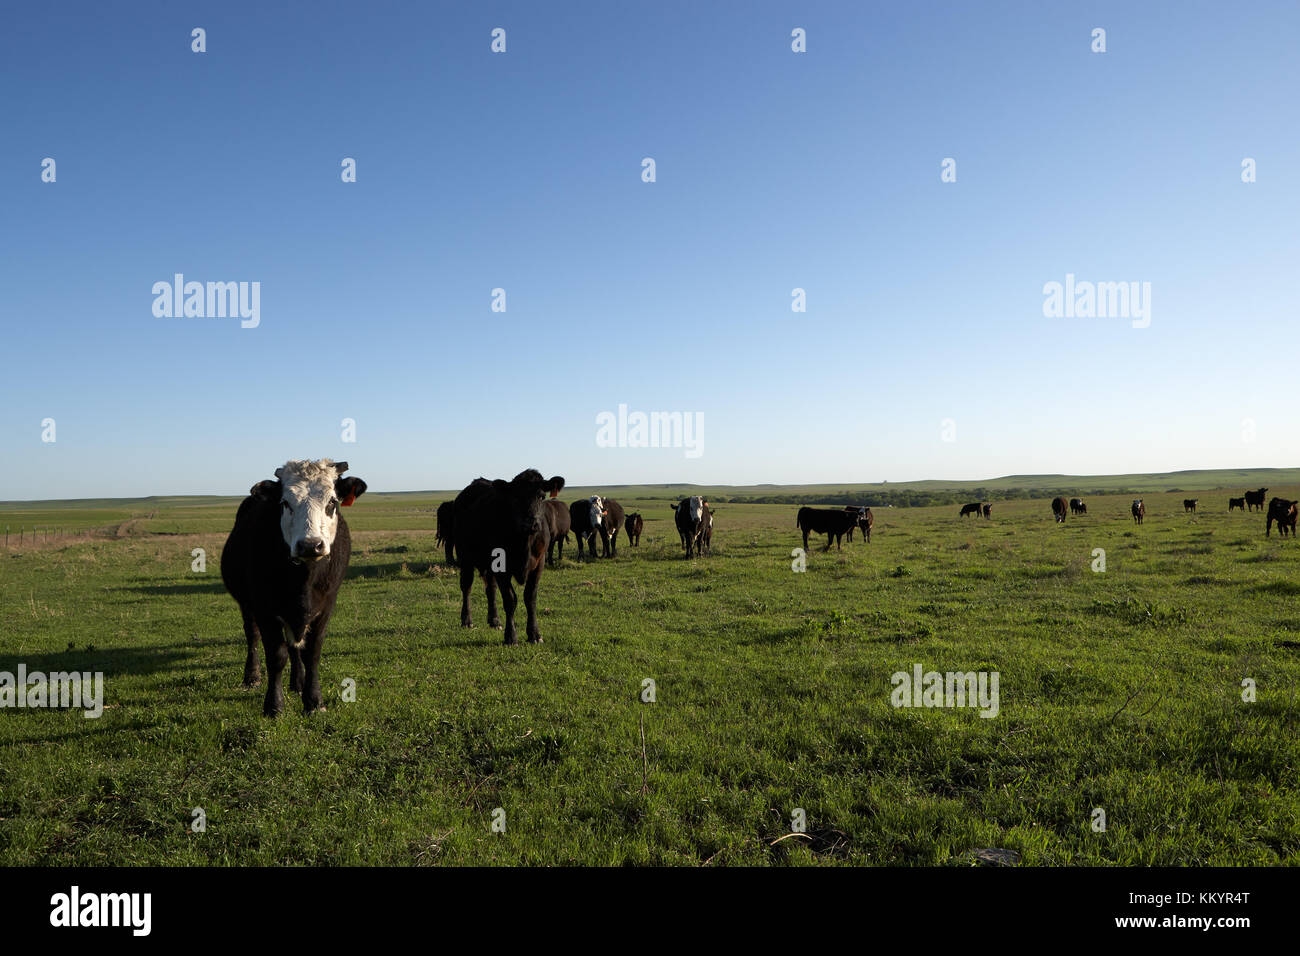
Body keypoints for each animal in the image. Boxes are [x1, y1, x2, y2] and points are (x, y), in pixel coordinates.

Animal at [220, 459, 367, 717]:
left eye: (332, 502)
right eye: (285, 503)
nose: (310, 544)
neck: (304, 580)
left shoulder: (326, 605)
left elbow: (311, 653)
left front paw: (314, 701)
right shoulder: (263, 607)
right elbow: (276, 655)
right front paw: (273, 705)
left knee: (295, 647)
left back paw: (297, 683)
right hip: (247, 605)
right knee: (252, 635)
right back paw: (252, 676)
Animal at [454, 470, 565, 645]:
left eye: (542, 496)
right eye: (516, 498)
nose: (530, 523)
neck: (524, 541)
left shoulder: (539, 563)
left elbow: (530, 597)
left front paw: (534, 634)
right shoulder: (501, 567)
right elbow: (510, 599)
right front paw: (511, 636)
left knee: (490, 589)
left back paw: (494, 620)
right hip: (465, 557)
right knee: (466, 586)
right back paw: (467, 620)